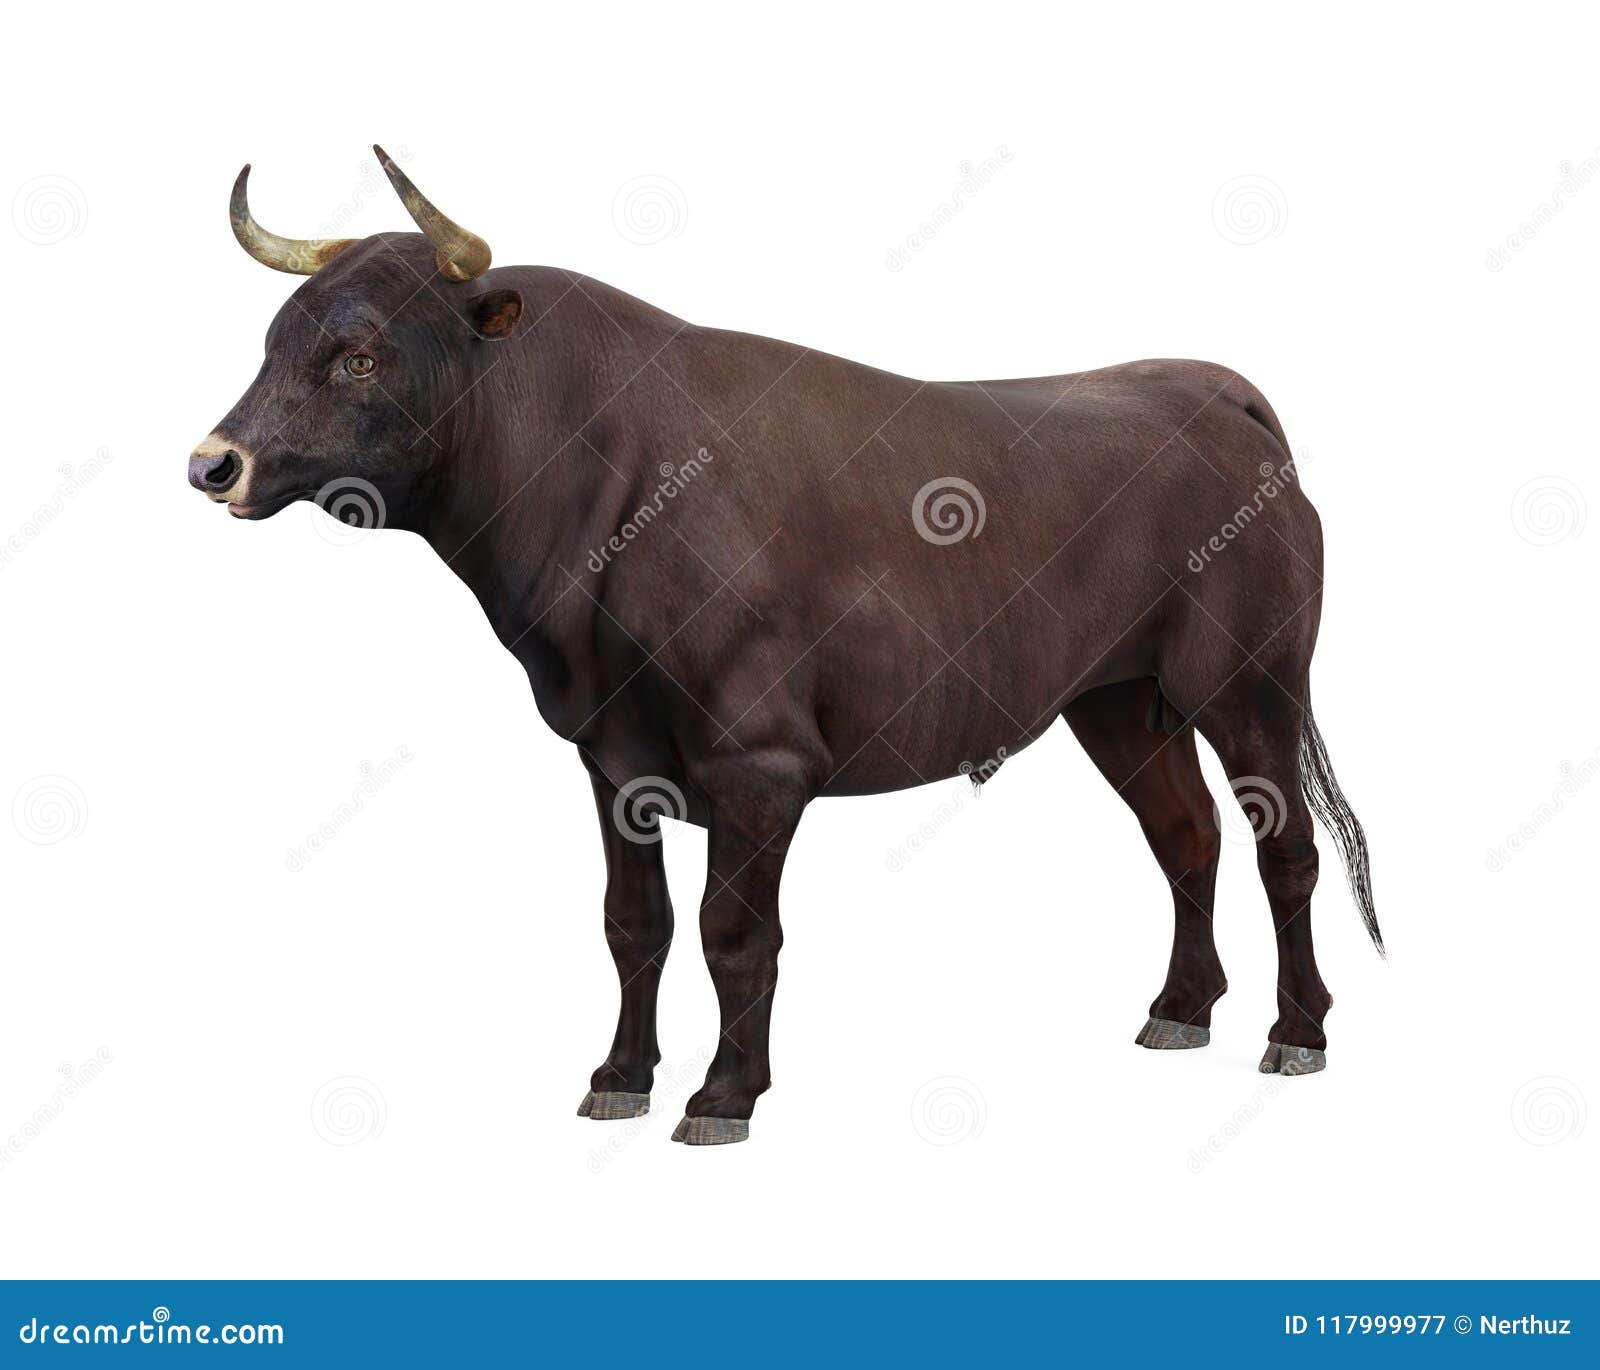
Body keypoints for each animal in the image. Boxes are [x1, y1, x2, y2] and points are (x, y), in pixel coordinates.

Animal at [190, 147, 1382, 1145]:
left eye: (362, 355)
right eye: (275, 342)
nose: (213, 463)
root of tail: (1205, 388)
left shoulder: (758, 764)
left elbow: (733, 930)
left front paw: (723, 1095)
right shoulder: (610, 761)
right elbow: (635, 922)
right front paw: (619, 1077)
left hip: (1251, 686)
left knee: (1283, 845)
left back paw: (1298, 1032)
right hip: (1120, 698)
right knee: (1185, 833)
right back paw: (1180, 1009)